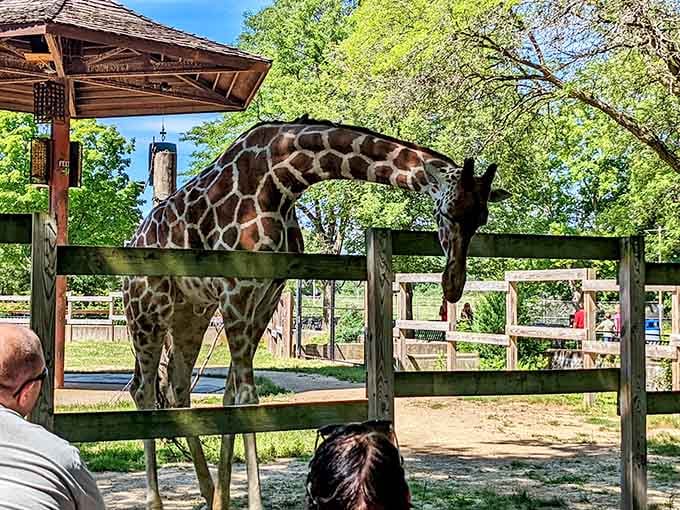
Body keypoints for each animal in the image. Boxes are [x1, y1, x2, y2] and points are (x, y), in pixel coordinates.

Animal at [123, 117, 510, 510]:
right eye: (445, 212)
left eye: (481, 218)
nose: (453, 285)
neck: (280, 179)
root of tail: (133, 241)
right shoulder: (236, 293)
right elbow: (248, 400)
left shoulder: (265, 296)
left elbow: (231, 398)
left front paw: (223, 498)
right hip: (146, 308)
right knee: (142, 389)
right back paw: (154, 501)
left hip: (190, 313)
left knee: (177, 389)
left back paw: (206, 491)